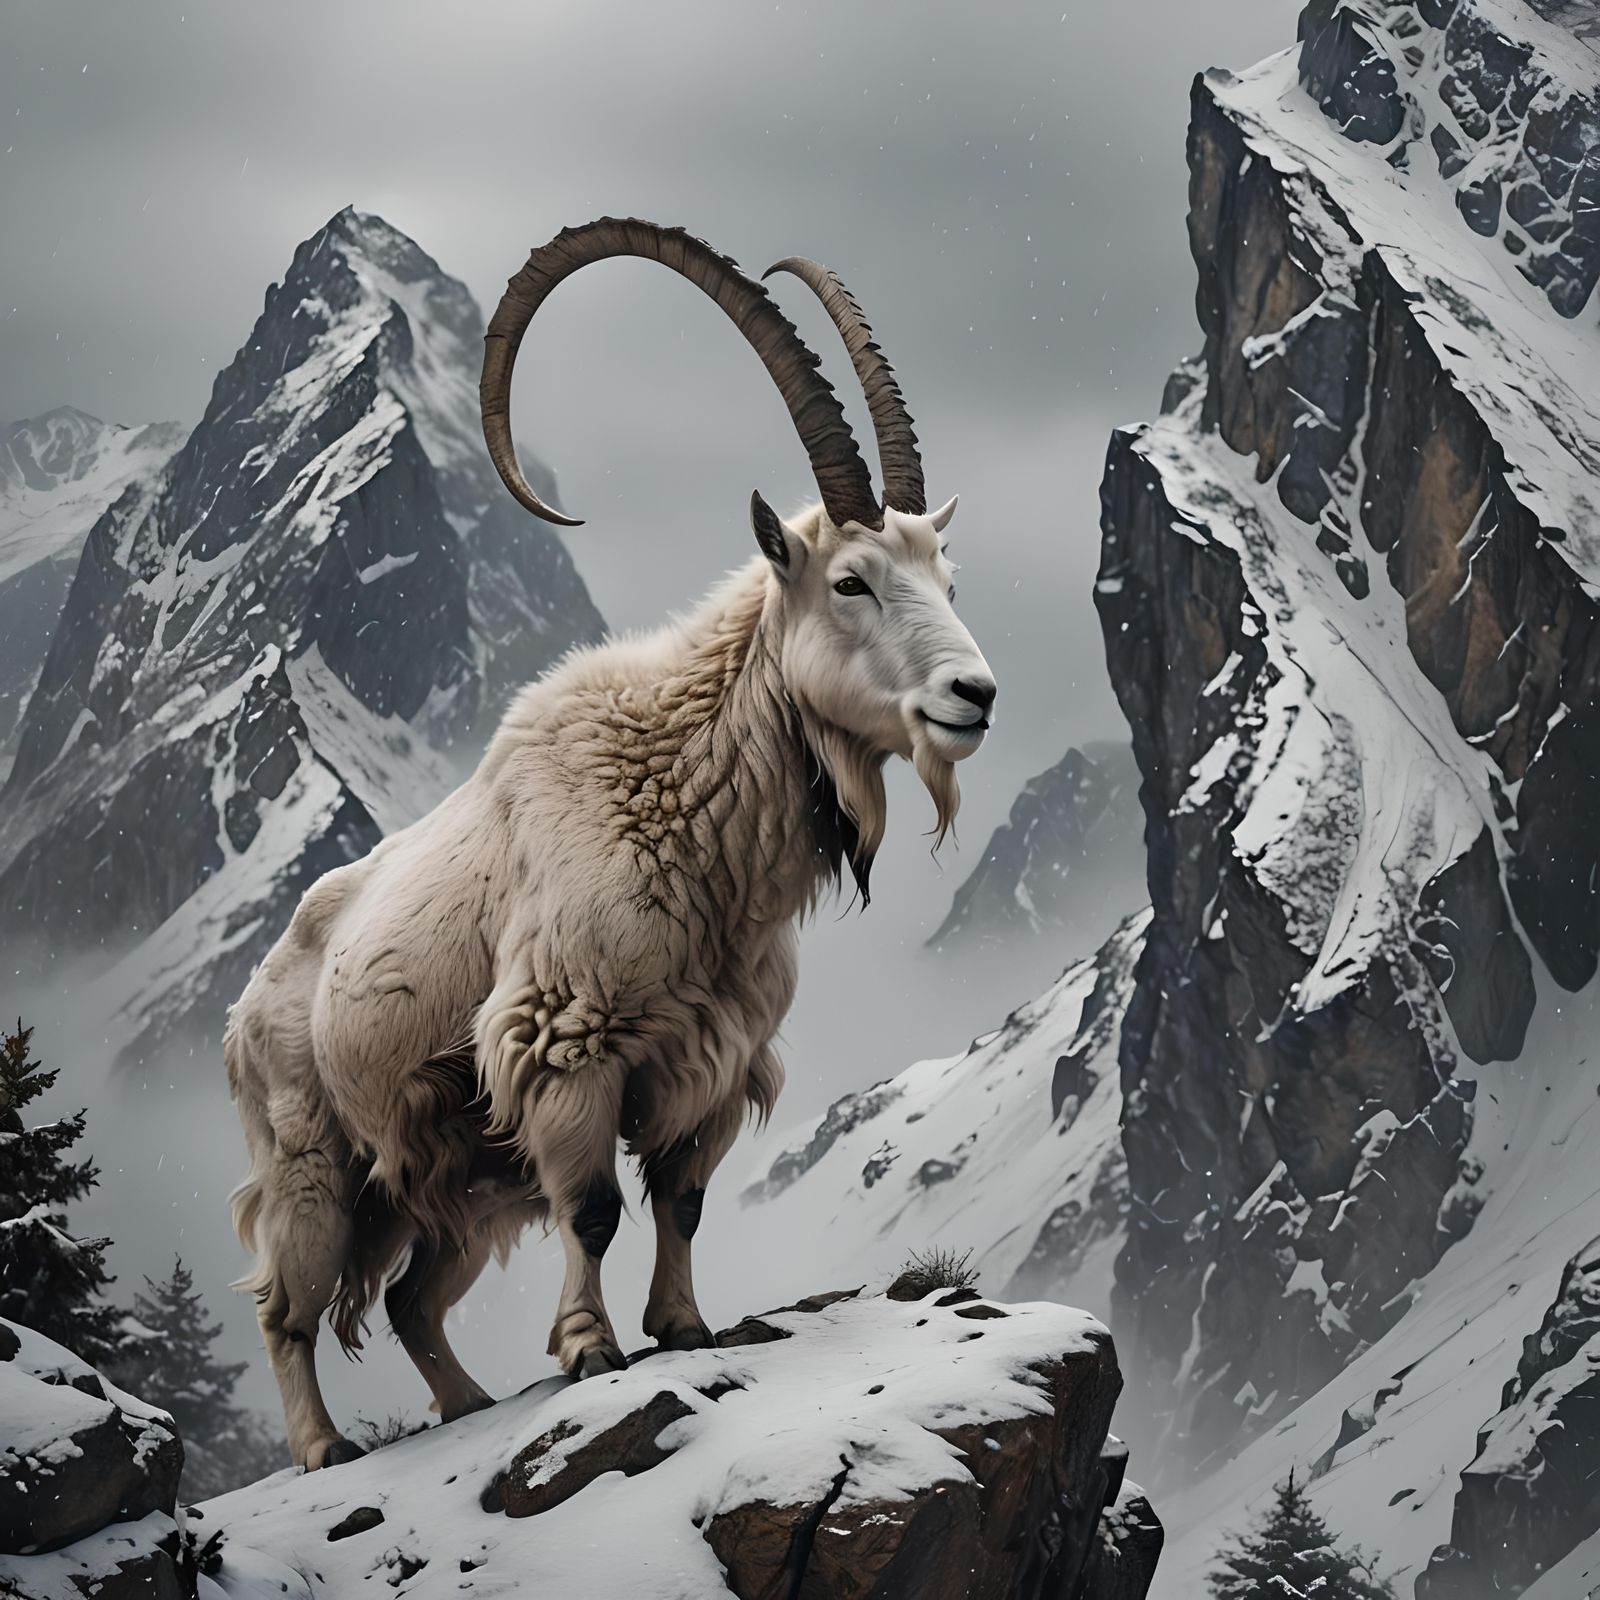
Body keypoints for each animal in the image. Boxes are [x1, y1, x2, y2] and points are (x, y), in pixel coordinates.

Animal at [226, 219, 997, 1469]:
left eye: (946, 577)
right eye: (850, 579)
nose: (972, 696)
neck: (683, 791)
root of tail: (248, 1004)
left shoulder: (713, 1062)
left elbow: (679, 1202)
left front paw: (681, 1325)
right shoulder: (567, 1041)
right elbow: (591, 1205)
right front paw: (591, 1348)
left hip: (451, 1175)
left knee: (408, 1298)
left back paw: (465, 1405)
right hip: (310, 1154)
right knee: (286, 1305)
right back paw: (324, 1446)